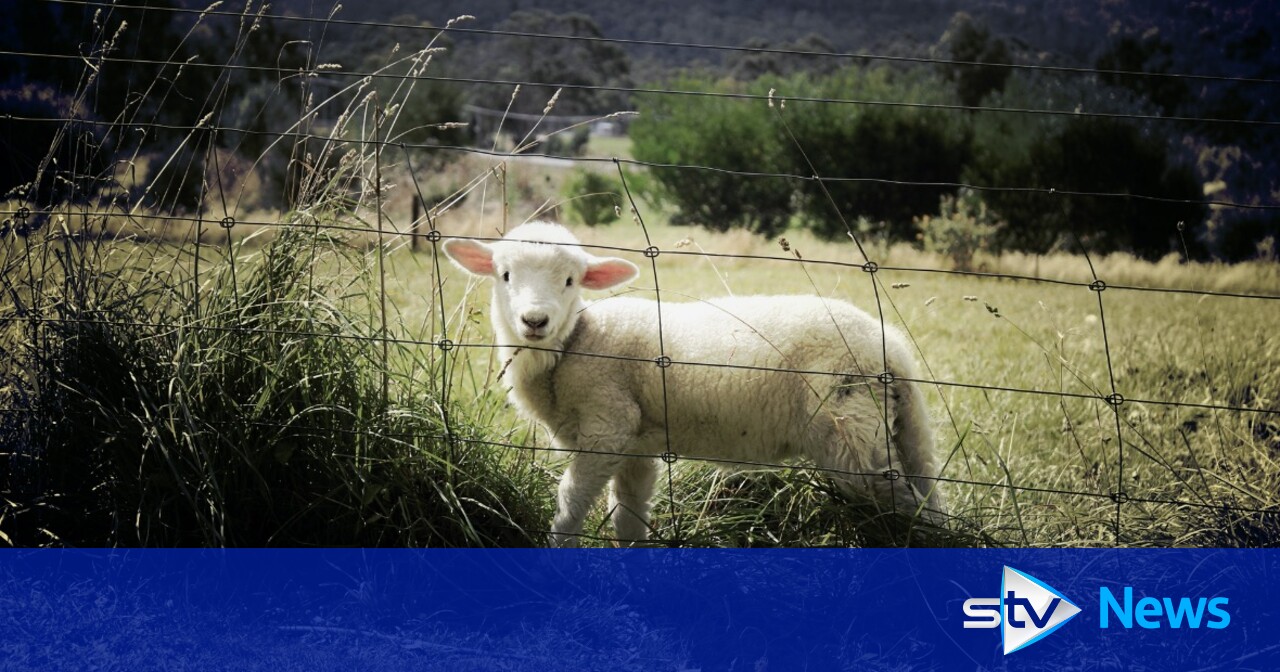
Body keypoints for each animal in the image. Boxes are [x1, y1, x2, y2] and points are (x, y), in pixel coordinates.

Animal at [443, 221, 946, 546]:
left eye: (570, 281)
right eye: (505, 276)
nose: (534, 321)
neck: (574, 344)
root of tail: (889, 348)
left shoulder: (607, 425)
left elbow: (571, 504)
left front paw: (558, 550)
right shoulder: (637, 446)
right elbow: (629, 514)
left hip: (849, 433)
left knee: (904, 503)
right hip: (893, 428)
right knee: (926, 493)